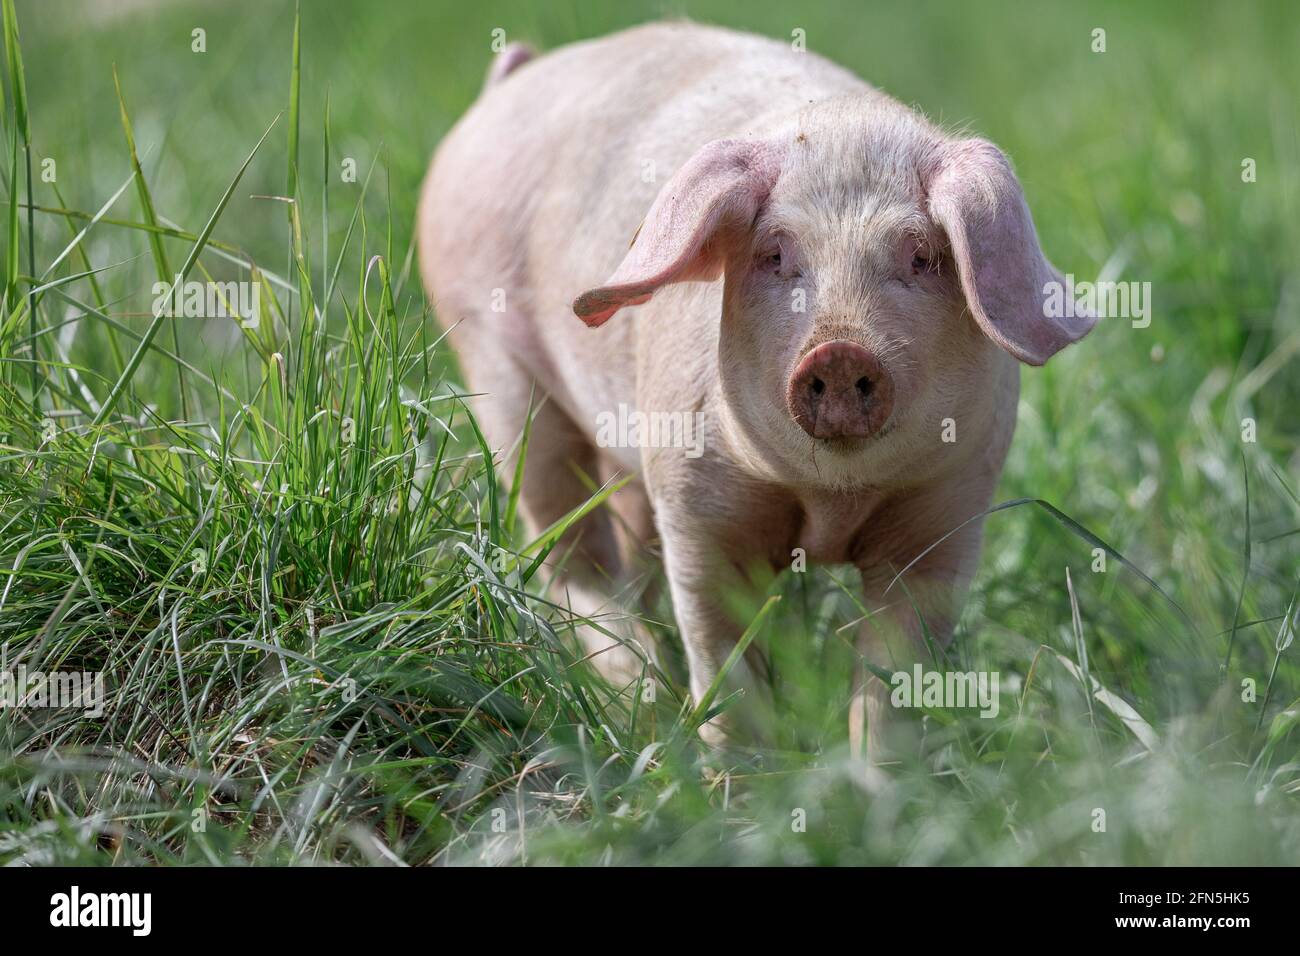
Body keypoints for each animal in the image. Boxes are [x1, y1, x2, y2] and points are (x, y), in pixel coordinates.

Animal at [418, 22, 1094, 757]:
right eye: (774, 254)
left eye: (921, 256)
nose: (838, 349)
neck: (829, 501)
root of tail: (511, 82)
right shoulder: (696, 498)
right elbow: (723, 656)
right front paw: (736, 776)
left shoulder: (951, 508)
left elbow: (894, 675)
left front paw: (878, 776)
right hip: (494, 361)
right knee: (566, 549)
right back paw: (641, 702)